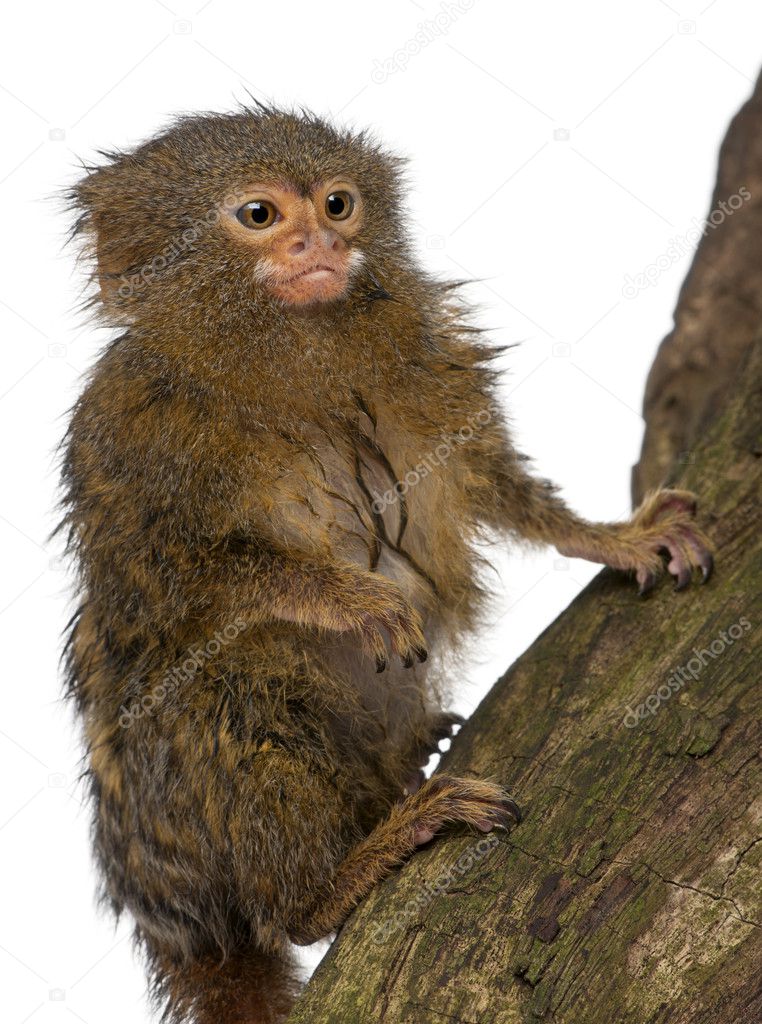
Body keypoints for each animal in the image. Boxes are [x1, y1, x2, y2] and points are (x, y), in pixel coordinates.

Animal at [59, 105, 713, 1024]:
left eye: (339, 203)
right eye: (259, 215)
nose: (323, 245)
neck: (287, 360)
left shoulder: (432, 369)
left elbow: (495, 487)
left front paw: (611, 536)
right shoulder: (120, 438)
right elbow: (175, 590)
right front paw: (350, 600)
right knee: (222, 709)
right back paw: (348, 872)